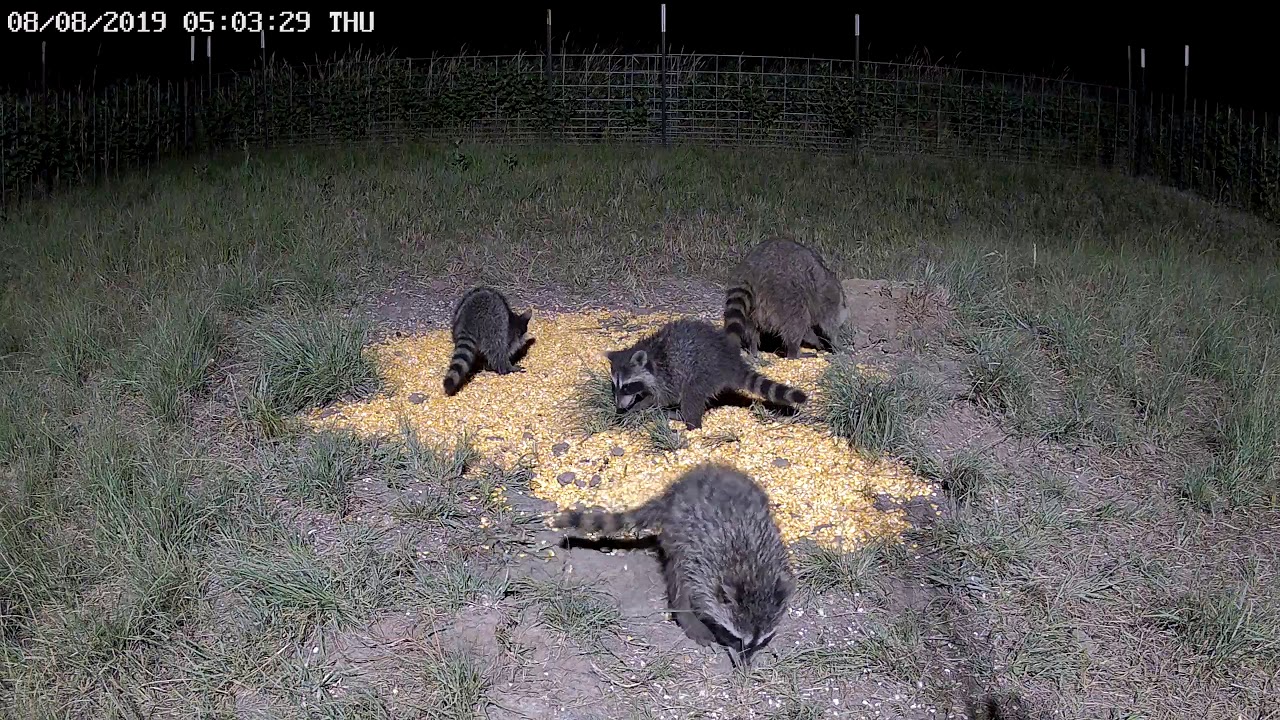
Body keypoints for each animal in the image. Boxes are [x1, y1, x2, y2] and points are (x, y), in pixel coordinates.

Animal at [552, 463, 794, 668]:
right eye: (735, 638)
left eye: (759, 642)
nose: (744, 666)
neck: (752, 572)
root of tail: (674, 492)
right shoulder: (702, 563)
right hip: (678, 532)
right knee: (677, 575)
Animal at [605, 318, 807, 430]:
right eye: (615, 386)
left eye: (627, 387)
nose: (619, 407)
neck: (651, 354)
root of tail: (731, 362)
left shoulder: (668, 374)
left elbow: (664, 397)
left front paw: (640, 406)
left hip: (703, 372)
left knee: (691, 396)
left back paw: (689, 423)